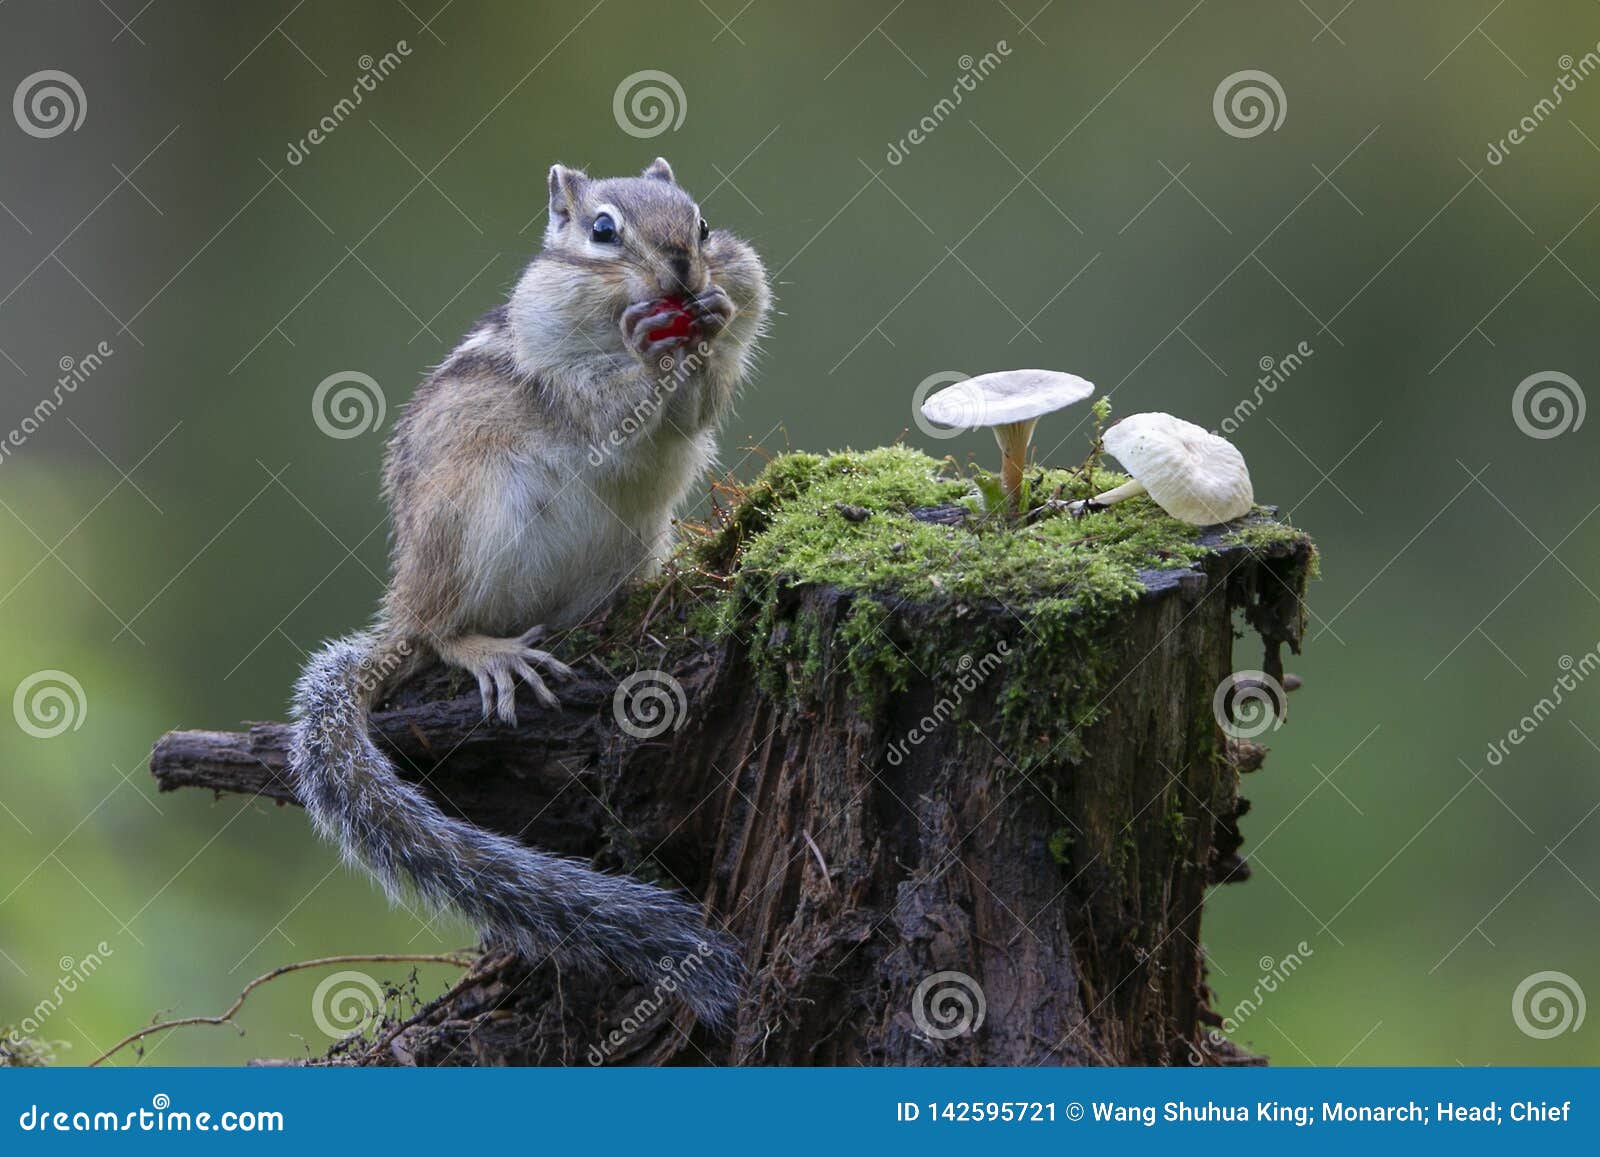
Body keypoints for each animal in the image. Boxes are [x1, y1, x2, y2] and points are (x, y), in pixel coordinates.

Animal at [287, 157, 770, 1027]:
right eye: (603, 230)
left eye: (704, 224)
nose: (685, 270)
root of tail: (402, 607)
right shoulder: (565, 376)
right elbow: (615, 410)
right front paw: (648, 351)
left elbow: (700, 403)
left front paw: (710, 321)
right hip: (473, 527)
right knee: (441, 632)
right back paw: (489, 652)